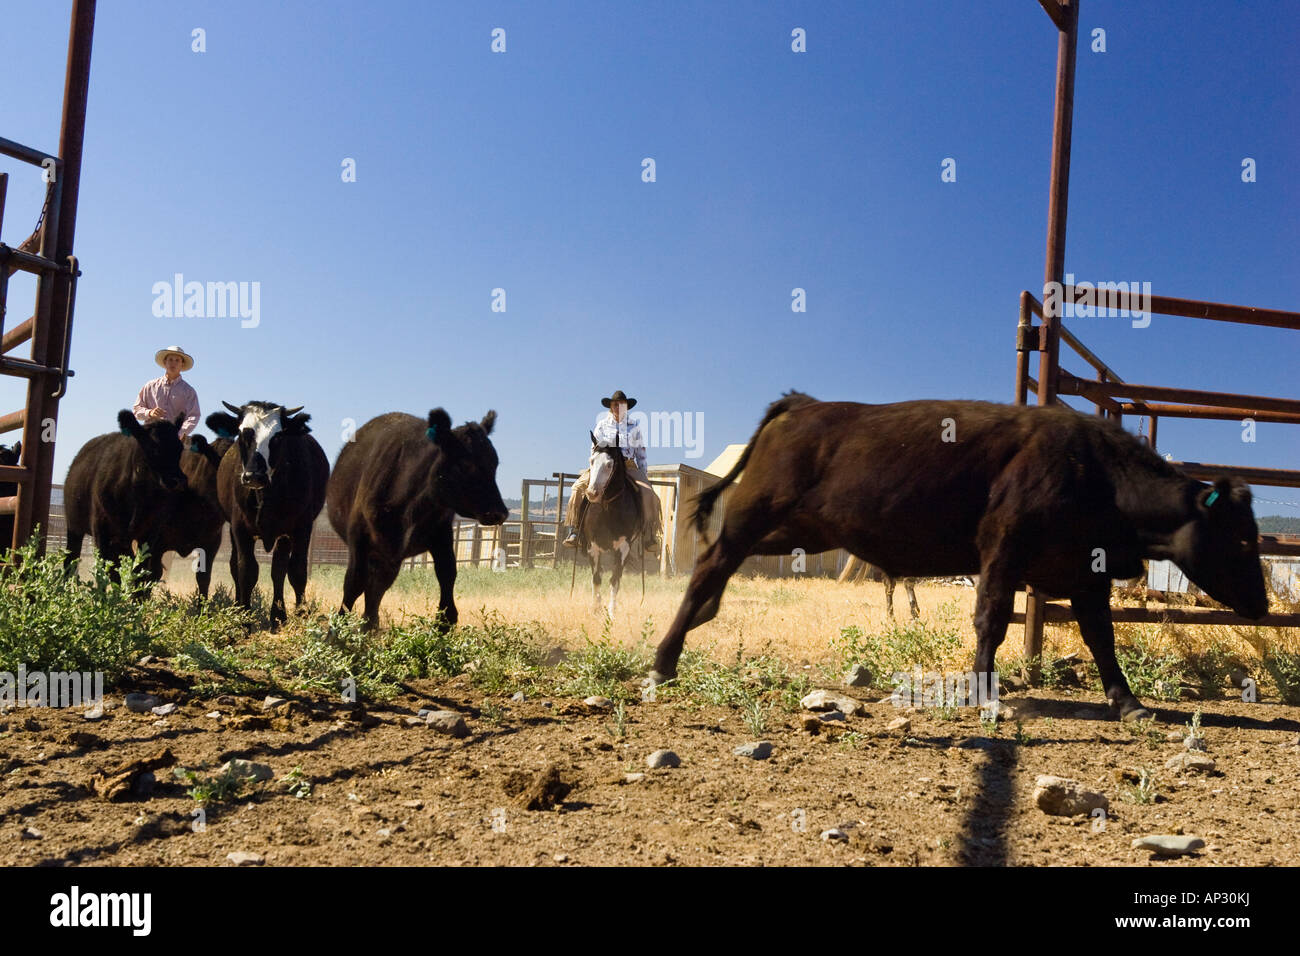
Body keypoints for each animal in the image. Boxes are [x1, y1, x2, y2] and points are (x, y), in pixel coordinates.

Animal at [63, 410, 188, 585]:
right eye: (153, 447)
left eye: (179, 448)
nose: (179, 481)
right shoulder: (101, 529)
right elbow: (105, 570)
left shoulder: (149, 534)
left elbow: (139, 570)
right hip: (74, 527)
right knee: (70, 561)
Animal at [206, 402, 329, 625]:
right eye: (242, 433)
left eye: (278, 437)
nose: (254, 475)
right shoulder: (240, 529)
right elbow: (246, 571)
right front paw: (244, 619)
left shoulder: (302, 528)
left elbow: (296, 571)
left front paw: (300, 616)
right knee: (236, 567)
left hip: (284, 537)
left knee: (279, 569)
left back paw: (278, 616)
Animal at [326, 409, 509, 630]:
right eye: (464, 465)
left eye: (494, 464)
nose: (499, 512)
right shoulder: (358, 539)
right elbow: (353, 585)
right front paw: (334, 633)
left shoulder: (441, 535)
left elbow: (447, 576)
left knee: (375, 591)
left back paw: (370, 625)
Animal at [649, 393, 1269, 721]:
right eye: (1242, 539)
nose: (1263, 606)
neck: (1094, 471)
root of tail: (804, 404)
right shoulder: (1002, 551)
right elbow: (991, 620)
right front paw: (985, 692)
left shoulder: (1085, 574)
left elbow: (1101, 637)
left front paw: (1128, 702)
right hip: (757, 512)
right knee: (710, 563)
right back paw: (663, 660)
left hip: (792, 530)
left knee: (719, 563)